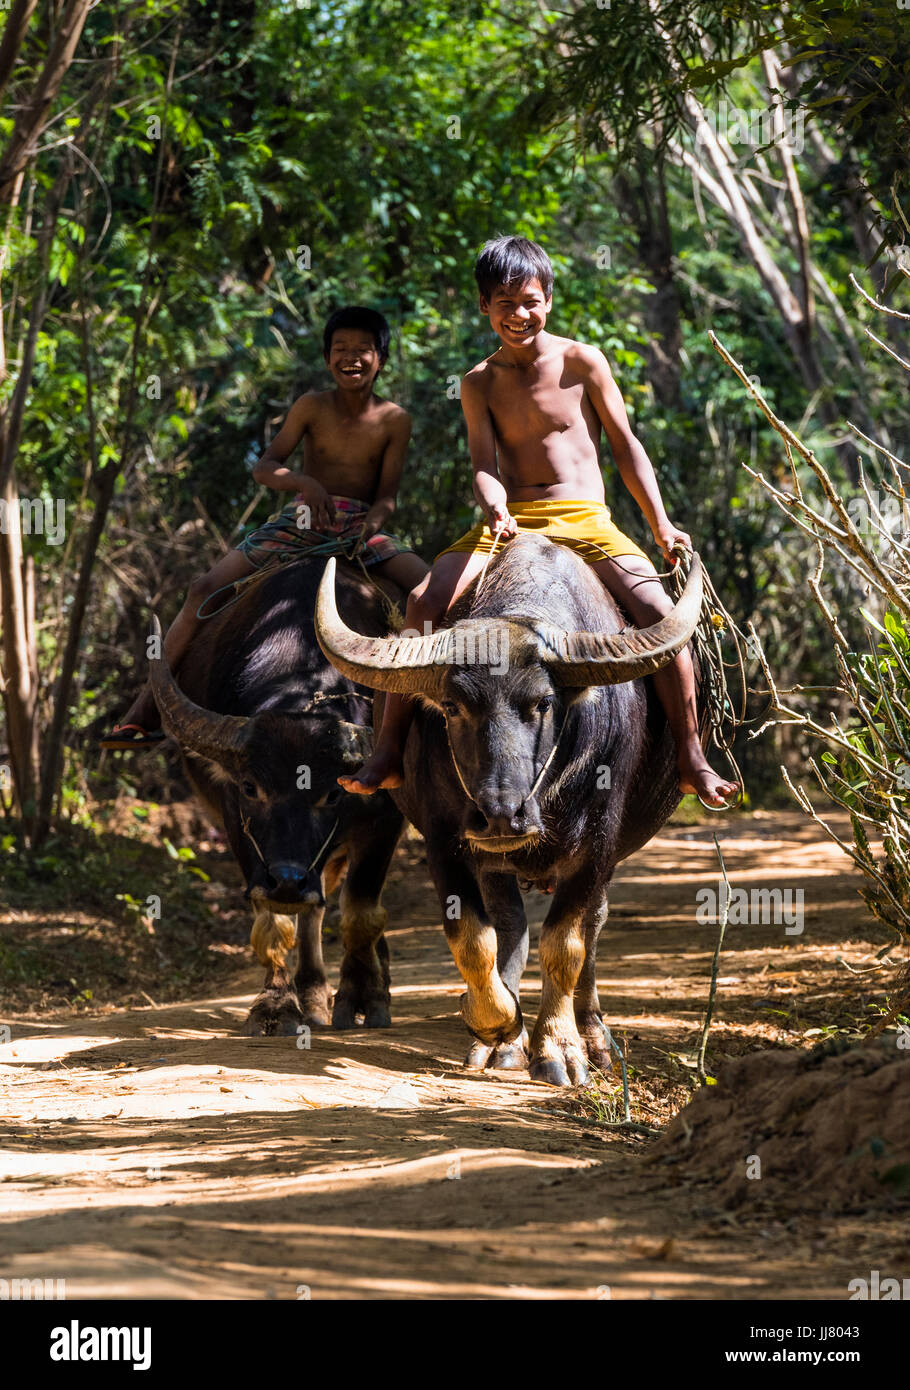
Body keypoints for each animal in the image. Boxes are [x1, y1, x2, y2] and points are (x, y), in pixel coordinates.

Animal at [149, 558, 404, 1036]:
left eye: (332, 795)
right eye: (252, 788)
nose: (286, 878)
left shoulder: (386, 820)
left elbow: (361, 912)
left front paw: (363, 998)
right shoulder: (237, 826)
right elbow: (274, 918)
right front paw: (277, 1005)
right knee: (312, 907)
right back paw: (312, 993)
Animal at [315, 532, 702, 1085]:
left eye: (543, 702)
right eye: (453, 707)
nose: (501, 814)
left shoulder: (598, 845)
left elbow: (567, 943)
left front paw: (560, 1047)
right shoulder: (446, 840)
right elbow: (473, 939)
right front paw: (496, 1025)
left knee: (593, 926)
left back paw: (594, 1035)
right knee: (510, 925)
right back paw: (503, 1041)